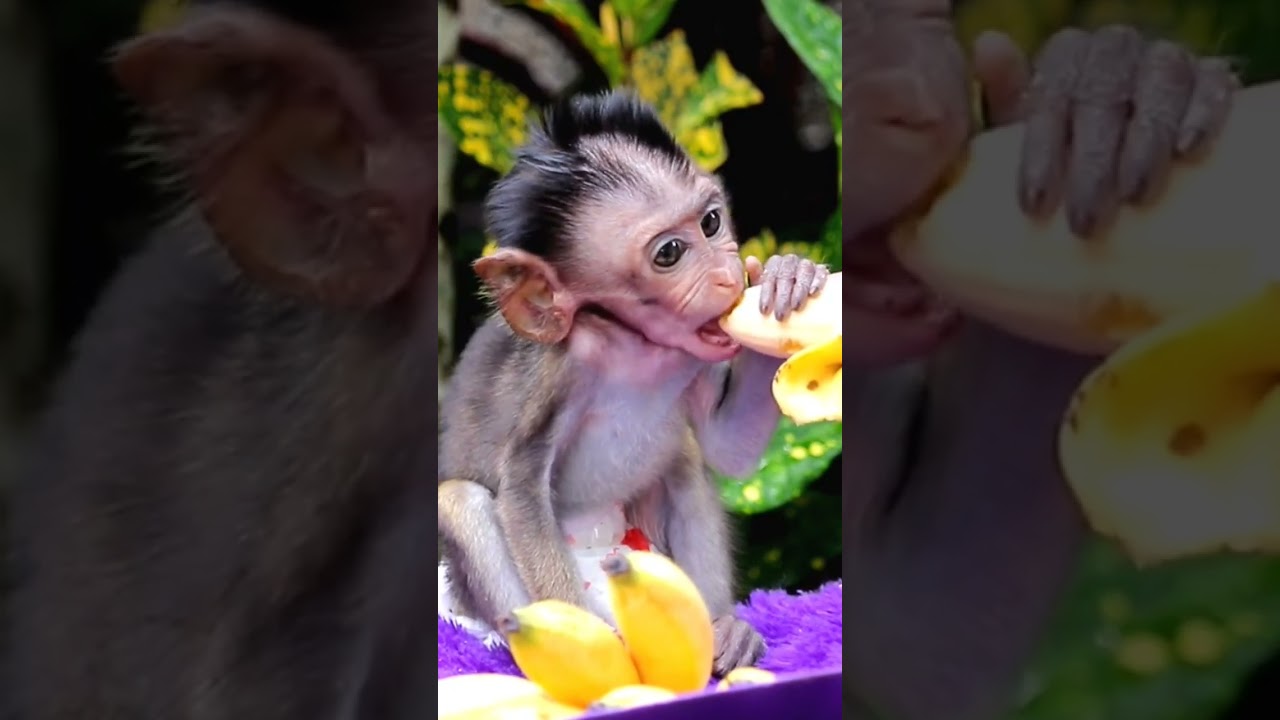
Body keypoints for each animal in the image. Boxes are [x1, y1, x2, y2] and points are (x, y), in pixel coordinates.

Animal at [436, 91, 836, 676]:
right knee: (461, 502)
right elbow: (522, 491)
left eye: (711, 222)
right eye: (669, 253)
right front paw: (589, 652)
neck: (637, 345)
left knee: (684, 466)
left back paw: (726, 631)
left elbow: (727, 449)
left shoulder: (693, 358)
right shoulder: (561, 374)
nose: (728, 277)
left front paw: (788, 277)